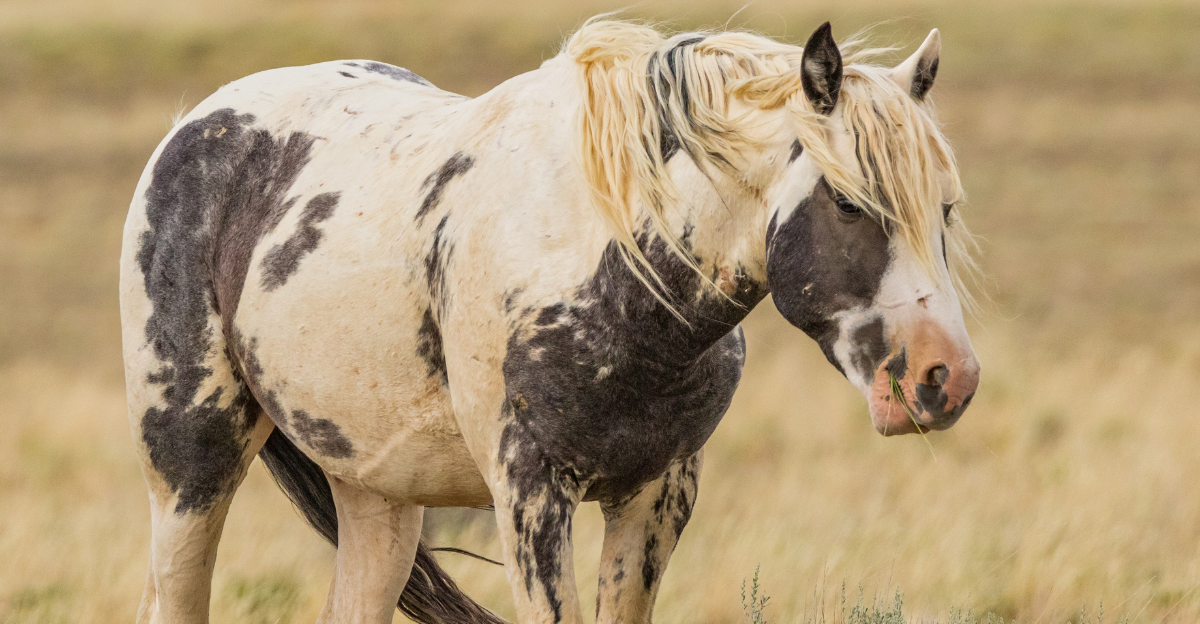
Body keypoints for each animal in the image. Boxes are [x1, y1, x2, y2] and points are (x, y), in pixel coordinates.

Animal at [120, 16, 980, 624]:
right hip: (191, 469)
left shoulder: (660, 492)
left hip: (375, 497)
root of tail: (195, 126)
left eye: (945, 209)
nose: (947, 376)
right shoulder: (531, 495)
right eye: (849, 203)